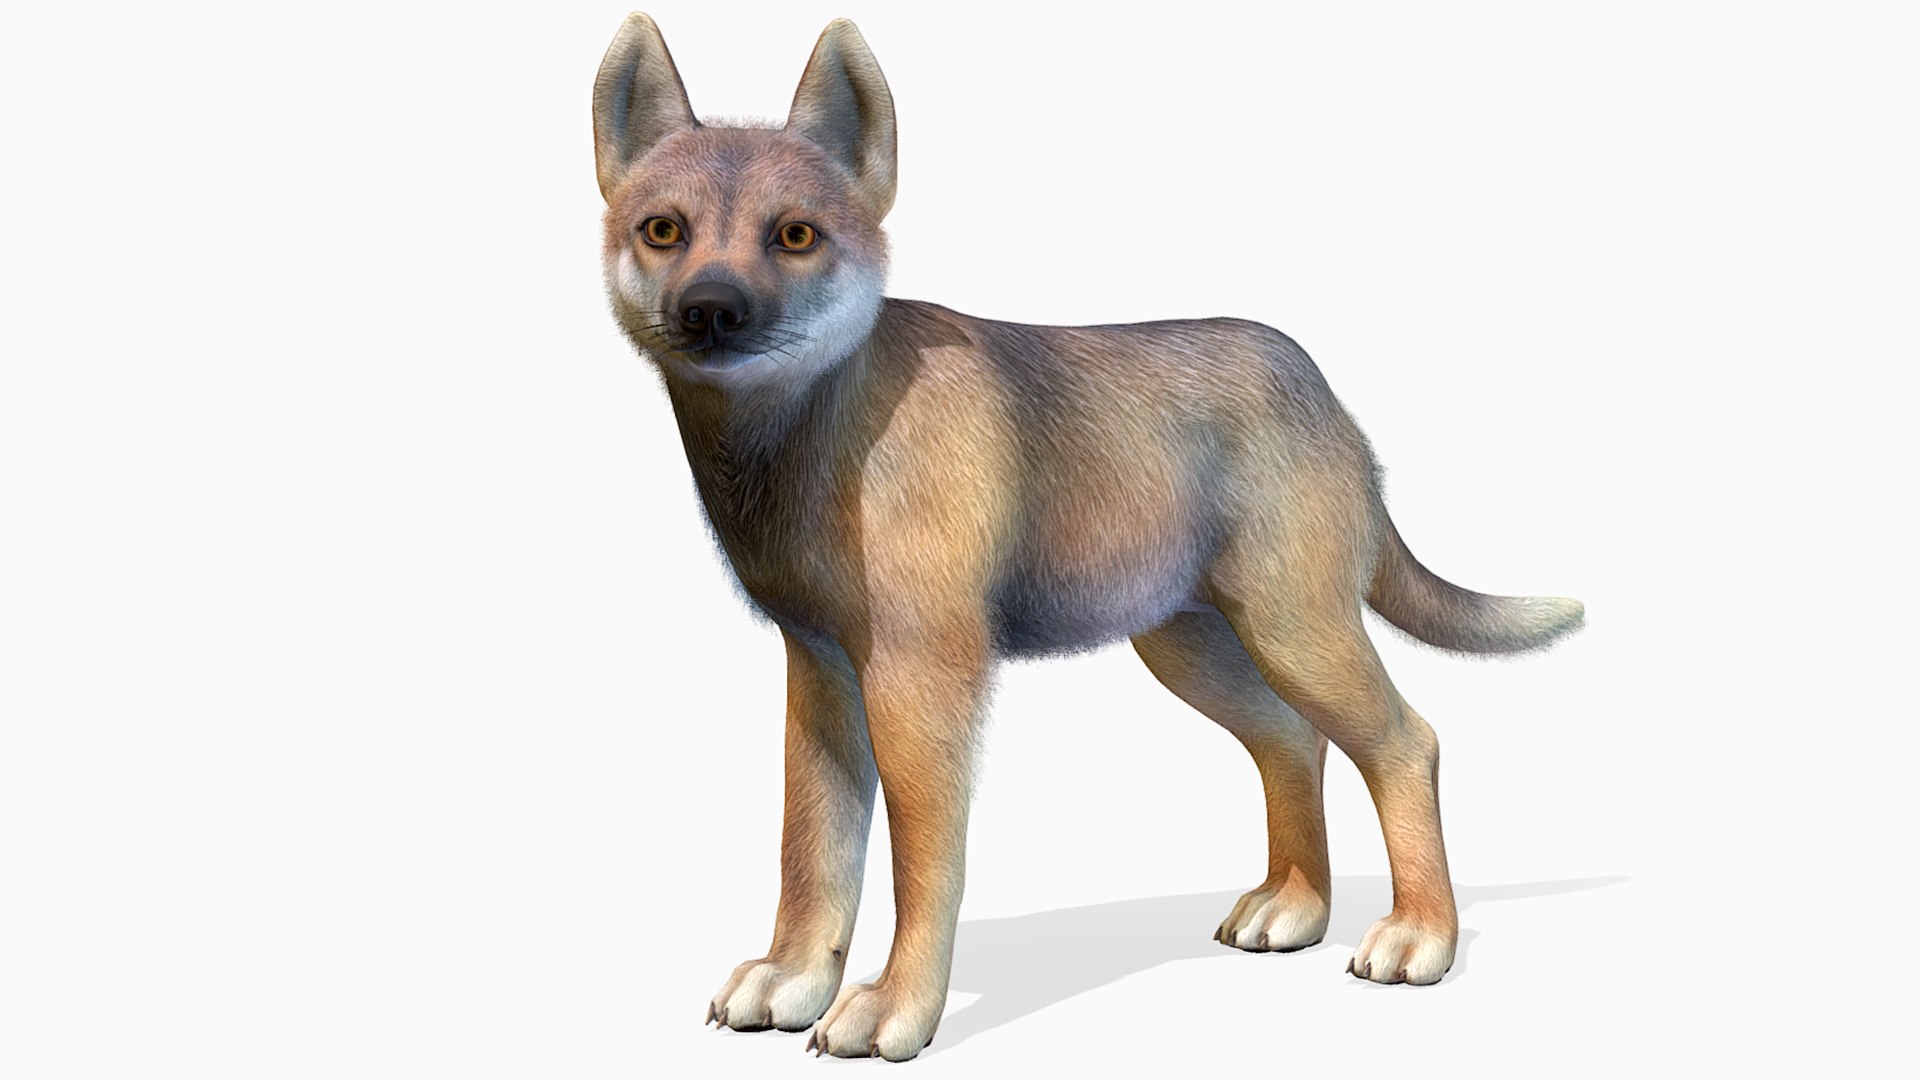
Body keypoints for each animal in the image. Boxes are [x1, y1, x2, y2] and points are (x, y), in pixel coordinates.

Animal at [593, 13, 1583, 1060]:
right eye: (663, 230)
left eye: (795, 236)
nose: (710, 310)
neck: (814, 434)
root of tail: (1321, 390)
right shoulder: (819, 667)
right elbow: (812, 848)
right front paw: (791, 978)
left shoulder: (923, 674)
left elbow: (923, 859)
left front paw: (896, 1006)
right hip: (1192, 642)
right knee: (1293, 743)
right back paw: (1295, 909)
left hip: (1295, 629)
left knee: (1405, 742)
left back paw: (1419, 934)